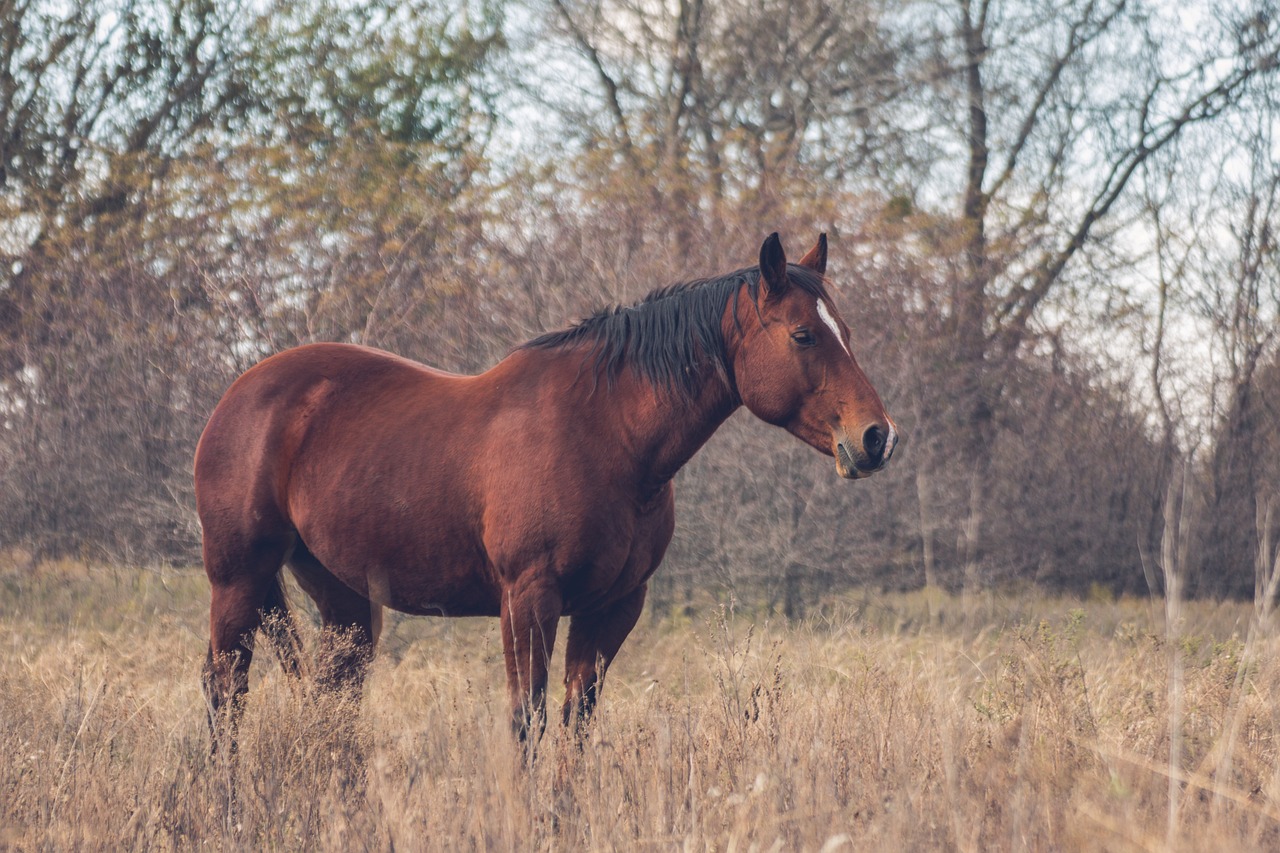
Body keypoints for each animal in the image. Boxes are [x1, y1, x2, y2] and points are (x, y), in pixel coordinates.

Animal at [195, 232, 898, 741]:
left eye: (846, 334)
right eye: (803, 335)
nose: (876, 438)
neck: (608, 435)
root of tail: (241, 391)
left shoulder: (611, 608)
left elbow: (575, 723)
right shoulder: (528, 600)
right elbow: (525, 722)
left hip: (343, 598)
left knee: (331, 700)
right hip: (238, 579)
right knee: (226, 689)